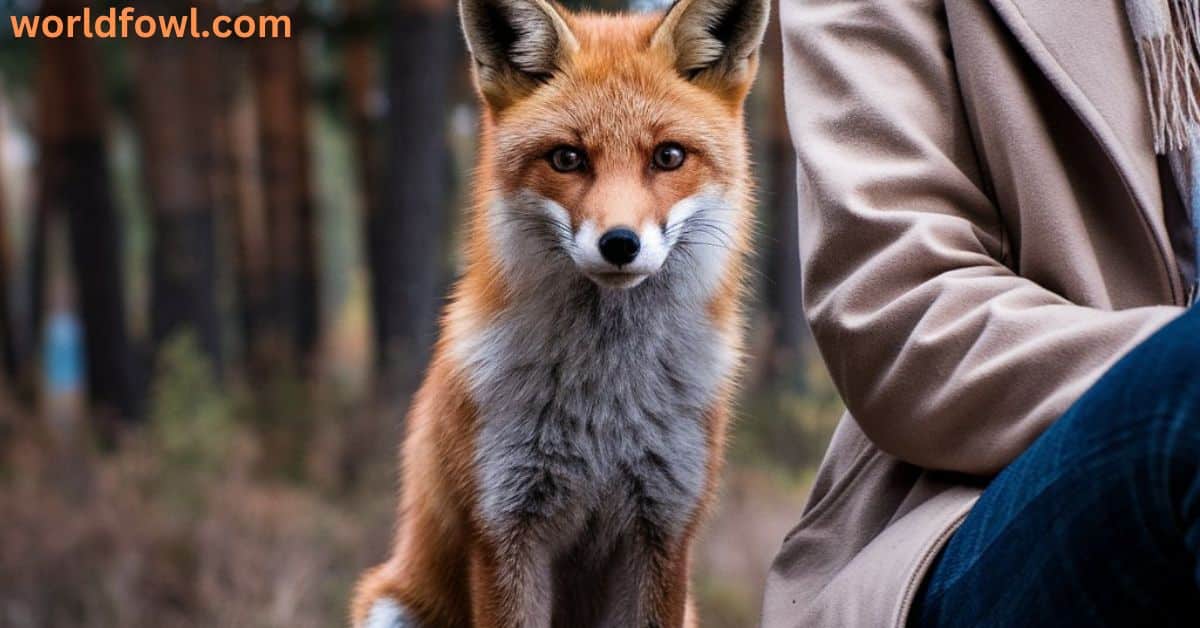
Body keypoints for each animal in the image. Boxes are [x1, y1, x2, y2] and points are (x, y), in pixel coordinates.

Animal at [351, 0, 767, 625]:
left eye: (668, 156)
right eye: (567, 158)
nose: (619, 243)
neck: (605, 406)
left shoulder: (665, 528)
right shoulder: (503, 527)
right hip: (389, 604)